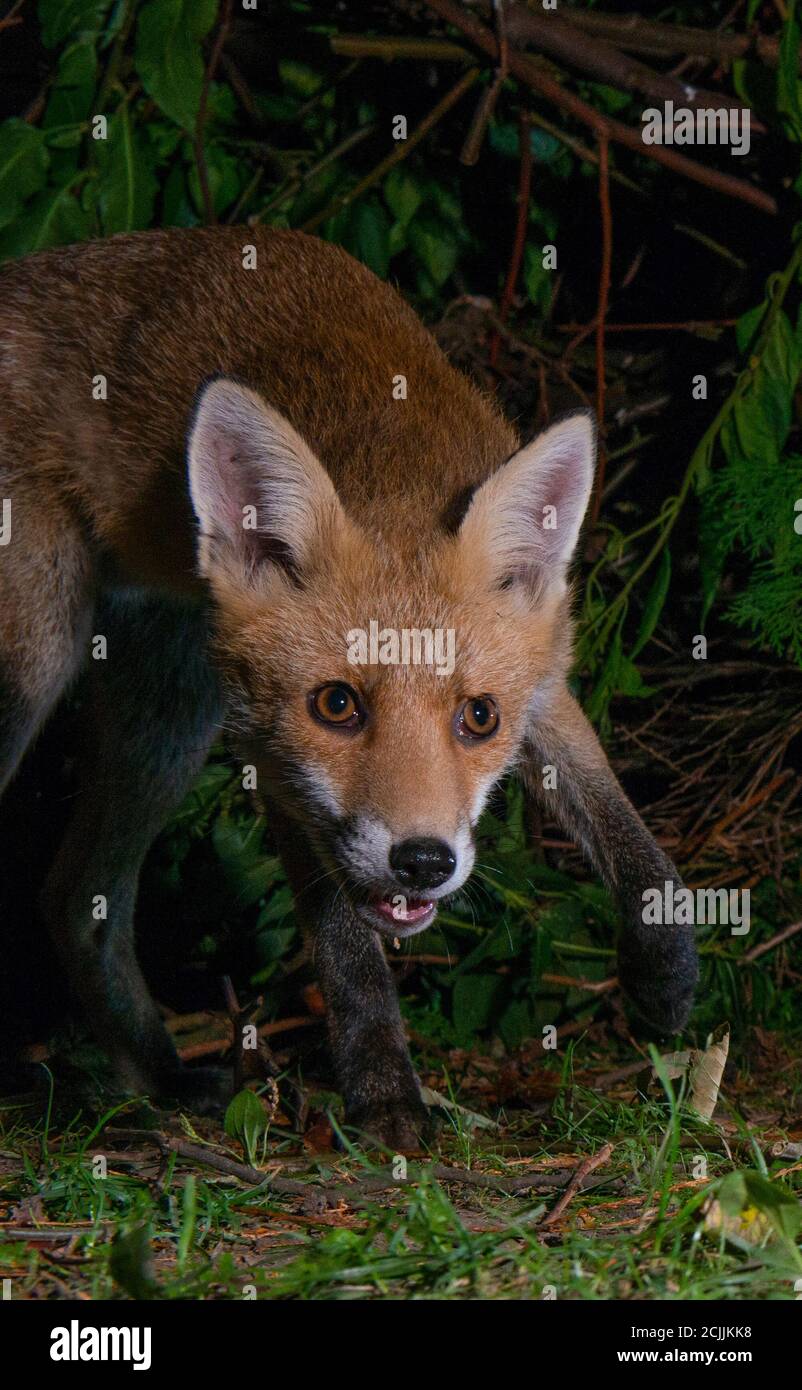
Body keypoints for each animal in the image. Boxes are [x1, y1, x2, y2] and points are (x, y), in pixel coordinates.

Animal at [0, 226, 697, 1148]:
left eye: (479, 718)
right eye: (337, 705)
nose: (424, 862)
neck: (392, 456)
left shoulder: (542, 680)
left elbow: (620, 820)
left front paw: (664, 972)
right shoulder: (273, 757)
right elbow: (345, 947)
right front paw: (384, 1094)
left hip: (170, 709)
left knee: (79, 898)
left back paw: (163, 1078)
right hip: (37, 662)